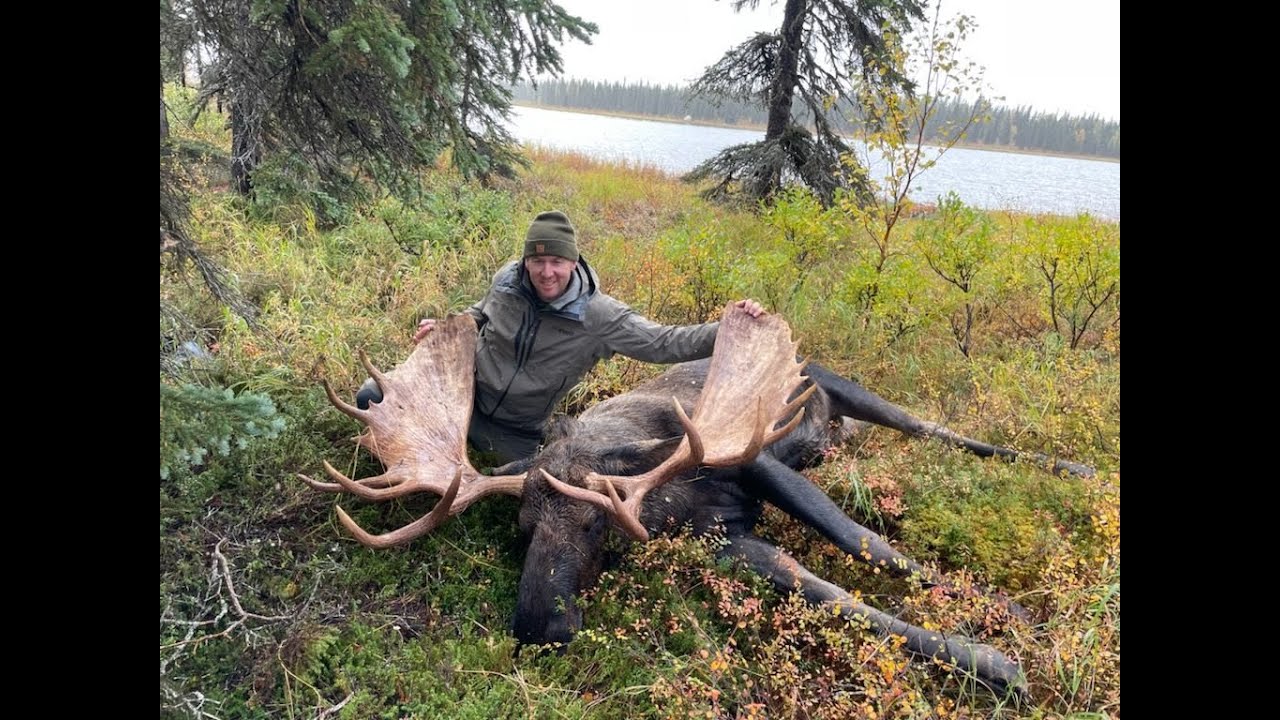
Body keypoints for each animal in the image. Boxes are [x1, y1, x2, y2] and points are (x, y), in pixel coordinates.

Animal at [300, 304, 1095, 695]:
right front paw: (987, 658)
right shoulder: (728, 539)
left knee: (940, 430)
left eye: (595, 528)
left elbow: (865, 542)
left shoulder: (760, 464)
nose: (537, 628)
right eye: (523, 530)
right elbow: (821, 589)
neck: (667, 496)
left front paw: (1010, 629)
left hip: (851, 390)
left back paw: (1074, 466)